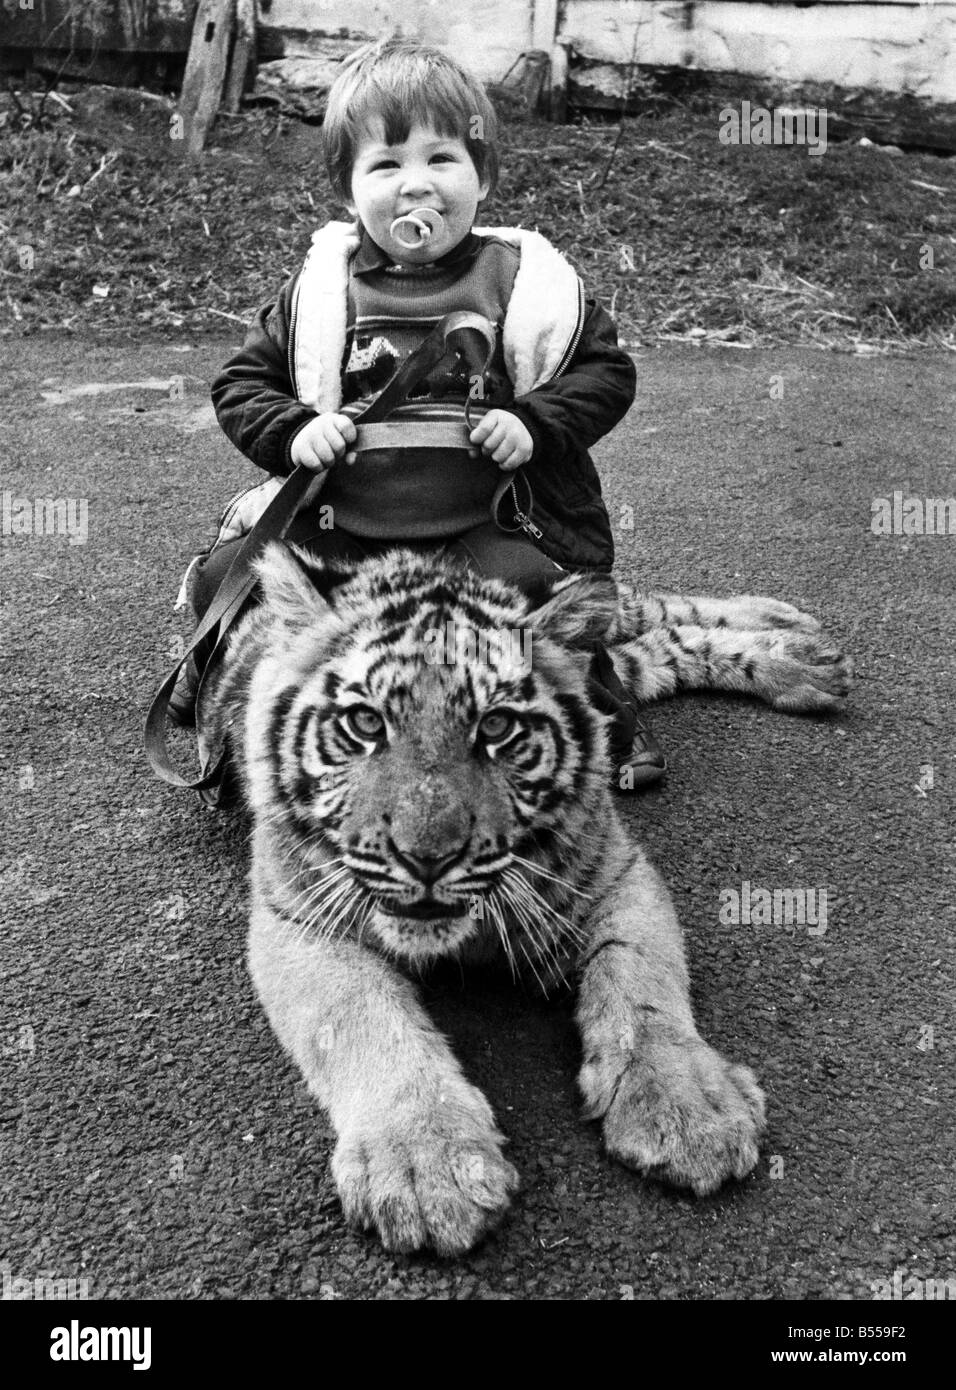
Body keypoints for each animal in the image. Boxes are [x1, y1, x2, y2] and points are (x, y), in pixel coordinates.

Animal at [197, 540, 852, 1257]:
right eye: (365, 722)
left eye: (498, 726)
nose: (427, 858)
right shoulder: (297, 918)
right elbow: (363, 1018)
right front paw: (427, 1164)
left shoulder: (616, 873)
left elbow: (641, 981)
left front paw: (686, 1106)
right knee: (654, 652)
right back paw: (802, 660)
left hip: (609, 608)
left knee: (655, 609)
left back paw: (793, 636)